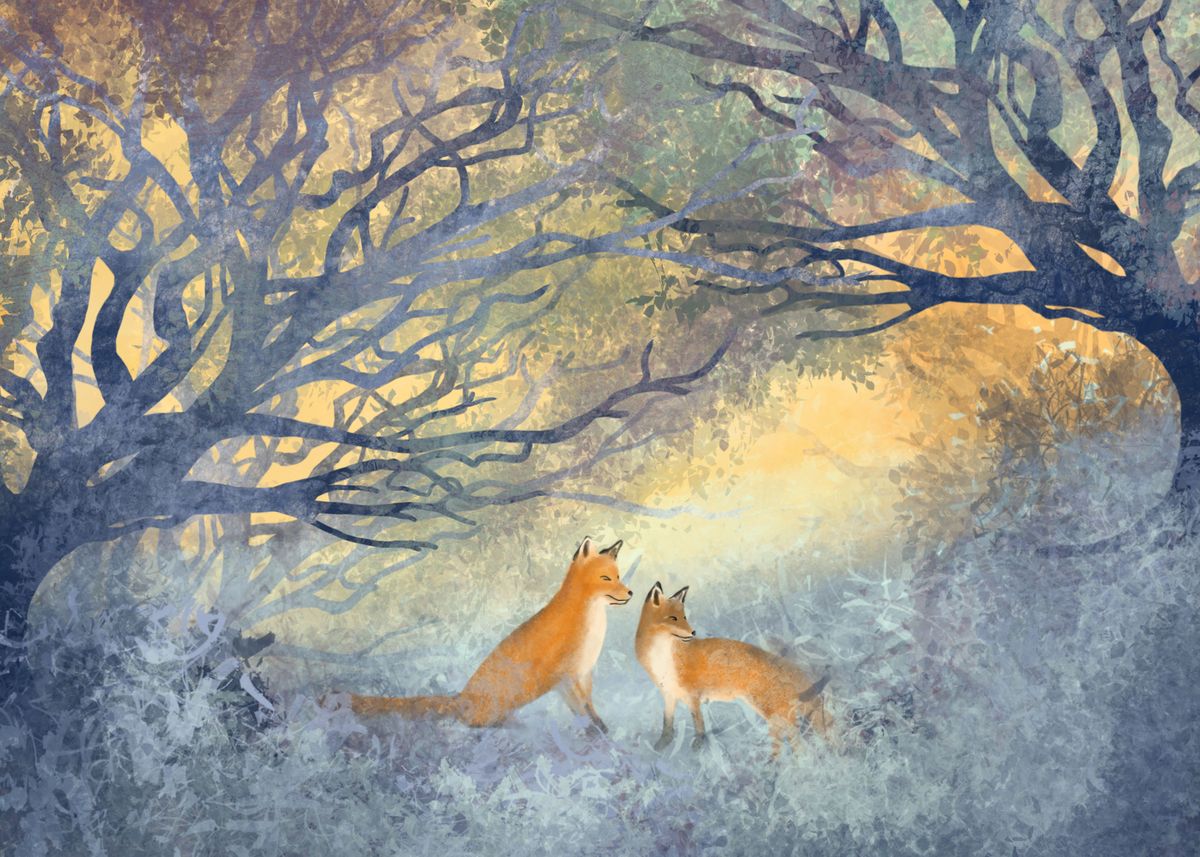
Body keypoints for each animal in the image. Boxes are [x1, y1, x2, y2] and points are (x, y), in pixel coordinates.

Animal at [344, 537, 633, 732]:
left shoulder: (583, 675)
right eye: (606, 578)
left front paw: (603, 732)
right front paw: (598, 736)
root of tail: (461, 698)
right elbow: (584, 713)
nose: (630, 593)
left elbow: (589, 710)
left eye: (619, 576)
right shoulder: (566, 678)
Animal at [635, 581, 833, 756]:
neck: (664, 658)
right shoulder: (668, 694)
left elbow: (699, 725)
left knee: (797, 740)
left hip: (771, 710)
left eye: (685, 617)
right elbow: (667, 725)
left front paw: (698, 747)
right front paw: (660, 746)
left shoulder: (693, 696)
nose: (693, 633)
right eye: (673, 618)